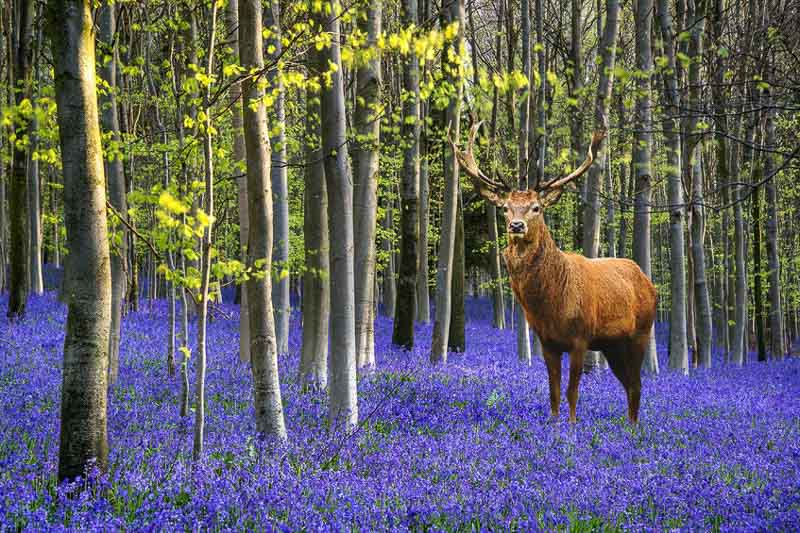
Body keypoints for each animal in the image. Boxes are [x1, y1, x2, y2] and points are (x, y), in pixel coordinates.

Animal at [452, 123, 657, 424]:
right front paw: (553, 424)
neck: (551, 304)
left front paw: (570, 426)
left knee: (637, 384)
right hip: (613, 345)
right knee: (629, 384)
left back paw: (633, 428)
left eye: (536, 207)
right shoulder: (547, 341)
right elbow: (554, 392)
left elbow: (572, 392)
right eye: (505, 208)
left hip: (641, 332)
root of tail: (648, 282)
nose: (516, 225)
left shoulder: (580, 337)